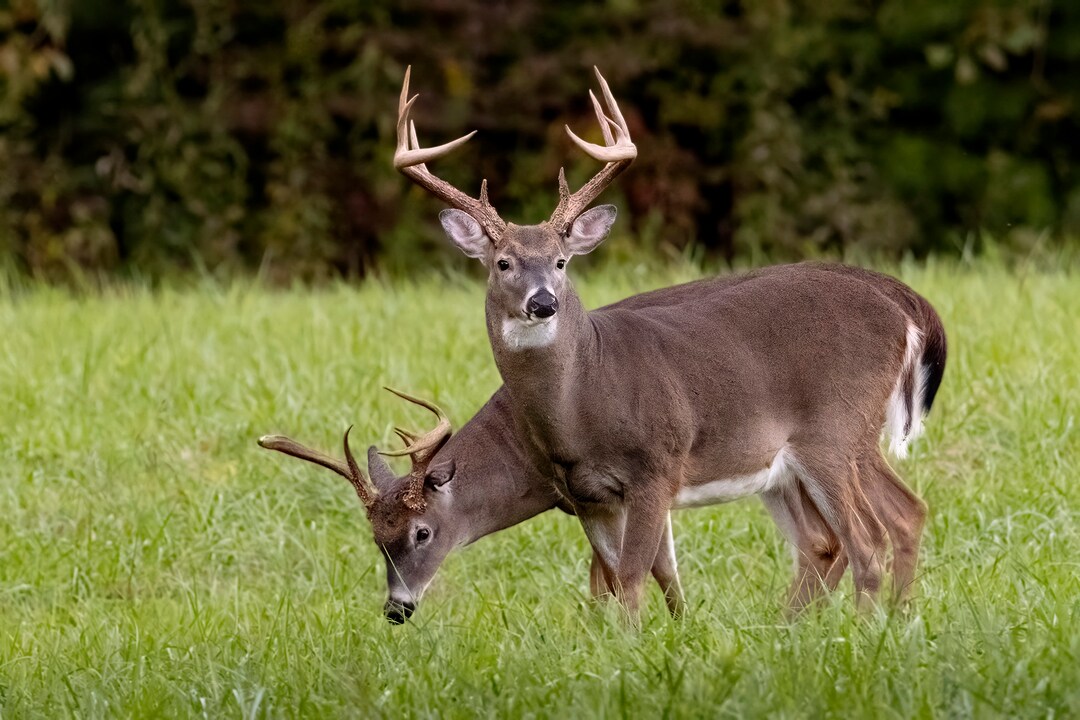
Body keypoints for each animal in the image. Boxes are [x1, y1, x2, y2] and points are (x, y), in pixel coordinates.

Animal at [393, 66, 948, 623]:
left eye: (560, 261)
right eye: (503, 263)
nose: (543, 303)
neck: (580, 402)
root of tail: (904, 306)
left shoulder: (655, 468)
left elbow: (632, 575)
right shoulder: (589, 494)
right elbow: (626, 576)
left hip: (833, 432)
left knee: (867, 537)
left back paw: (865, 627)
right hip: (818, 453)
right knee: (887, 519)